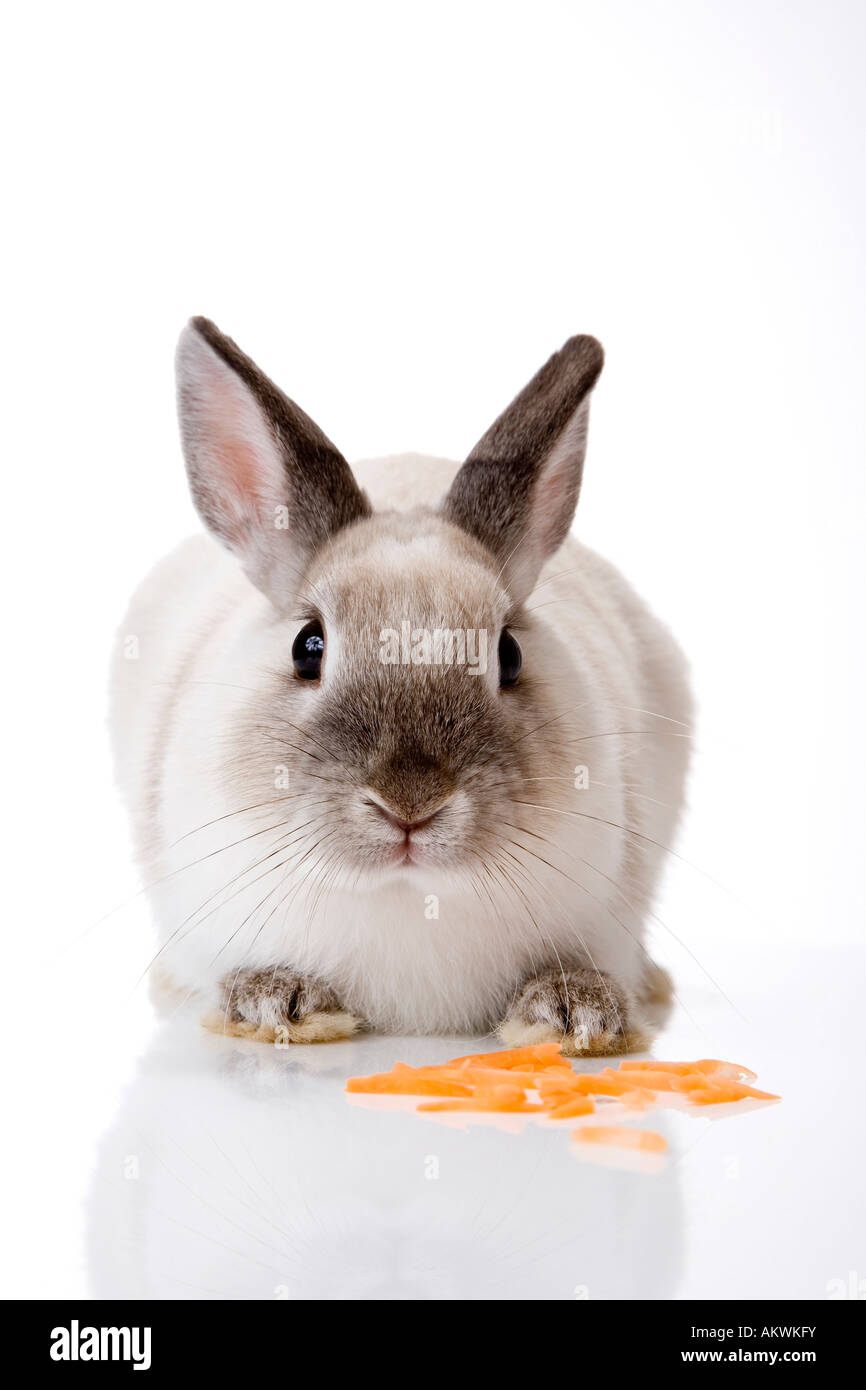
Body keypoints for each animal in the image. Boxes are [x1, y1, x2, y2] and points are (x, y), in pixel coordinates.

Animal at [110, 317, 692, 1054]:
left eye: (509, 654)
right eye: (308, 647)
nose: (410, 802)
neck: (411, 895)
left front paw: (574, 1012)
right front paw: (272, 1001)